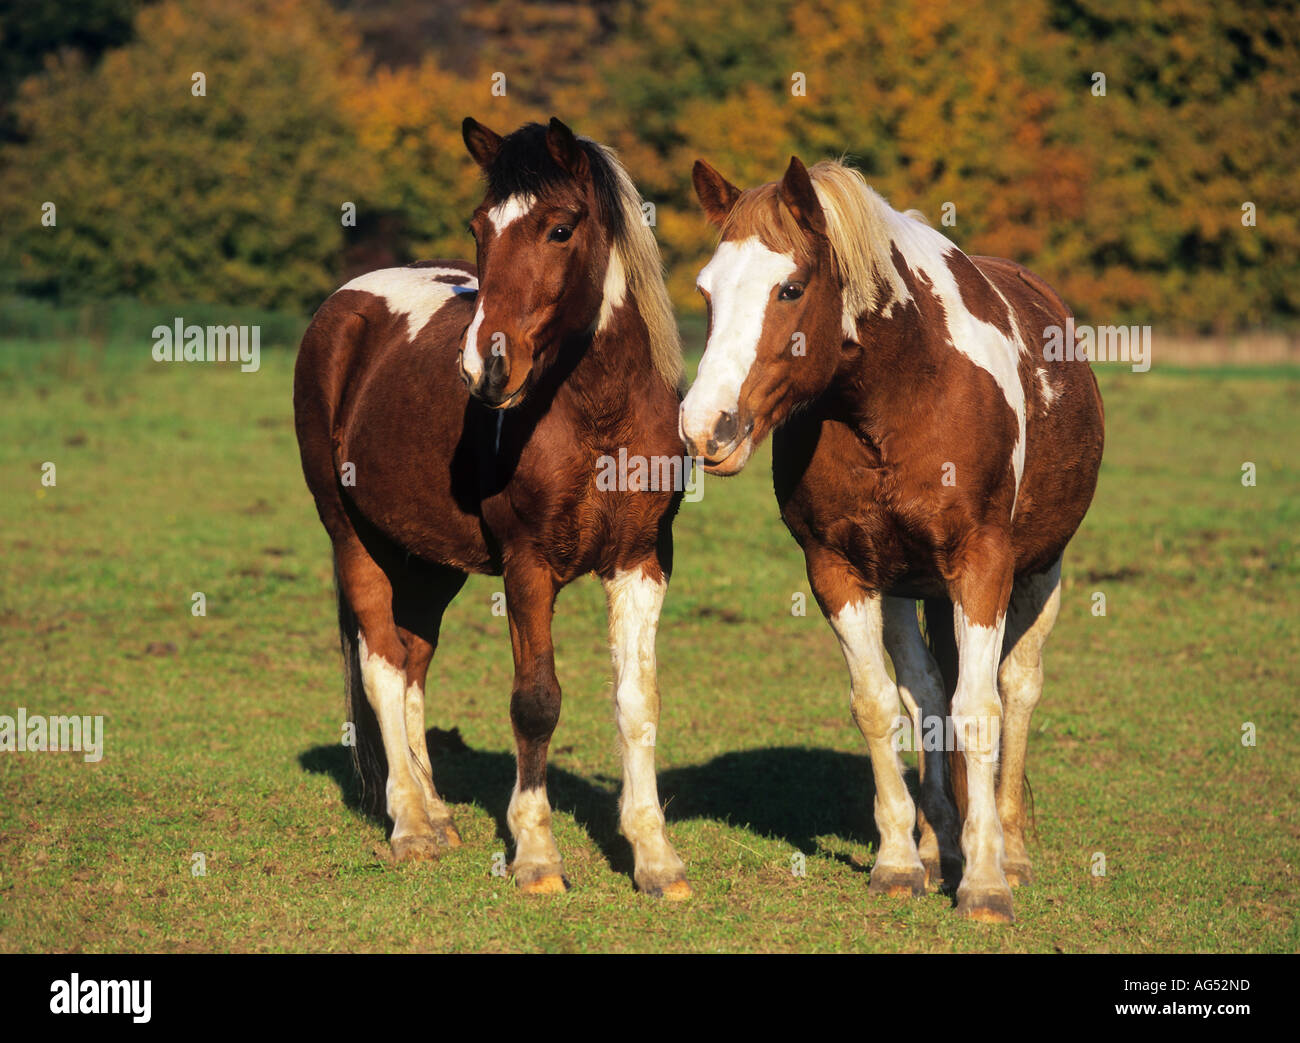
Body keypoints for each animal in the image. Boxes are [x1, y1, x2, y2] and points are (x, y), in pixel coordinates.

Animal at [293, 118, 693, 899]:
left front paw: (656, 858)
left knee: (411, 664)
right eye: (480, 227)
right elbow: (535, 701)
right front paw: (536, 856)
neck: (600, 412)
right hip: (352, 536)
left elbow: (638, 702)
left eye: (560, 228)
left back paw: (437, 812)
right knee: (382, 663)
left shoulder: (640, 561)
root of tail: (346, 304)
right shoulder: (527, 565)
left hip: (428, 559)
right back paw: (410, 826)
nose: (486, 369)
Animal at [681, 155, 1104, 922]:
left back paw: (1009, 847)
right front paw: (902, 861)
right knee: (926, 693)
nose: (705, 428)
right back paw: (941, 842)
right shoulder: (839, 569)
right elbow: (881, 704)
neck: (901, 394)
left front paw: (987, 882)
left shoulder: (984, 565)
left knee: (1018, 687)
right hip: (911, 584)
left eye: (791, 287)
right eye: (706, 289)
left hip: (1039, 571)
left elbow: (981, 708)